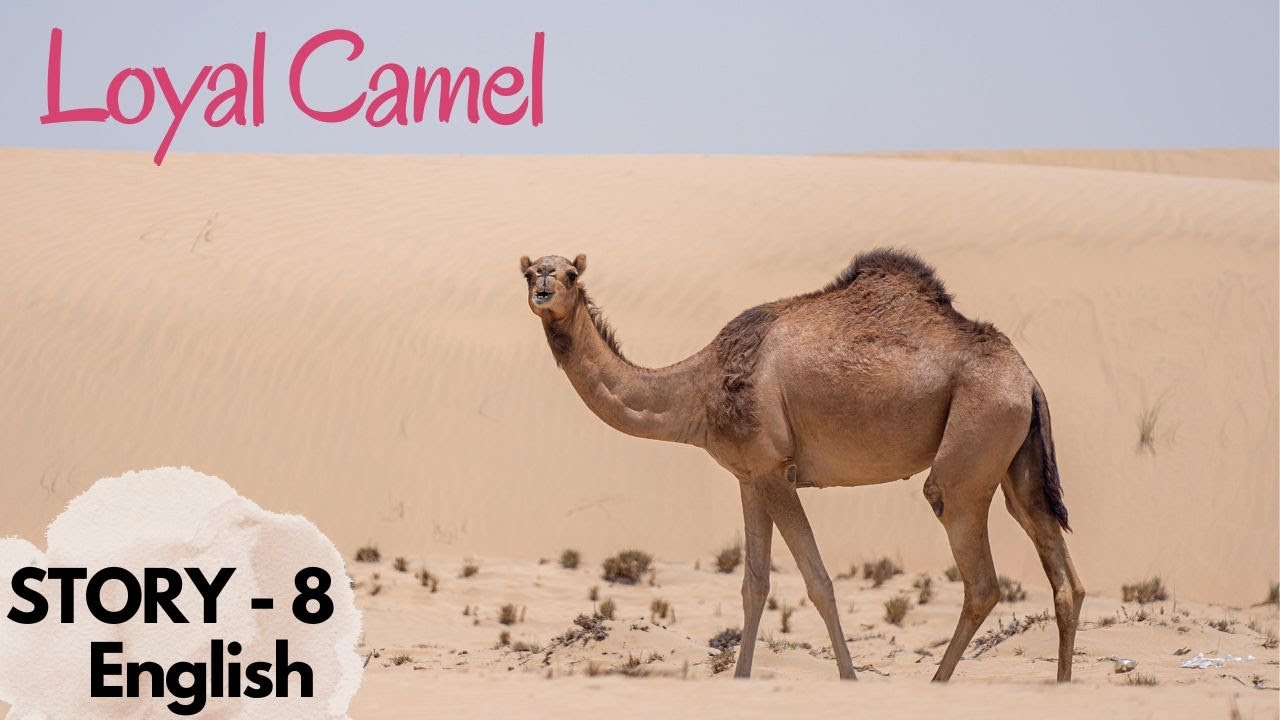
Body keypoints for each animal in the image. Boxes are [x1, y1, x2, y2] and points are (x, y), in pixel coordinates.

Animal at [519, 249, 1085, 682]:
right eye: (530, 272)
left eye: (570, 273)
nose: (544, 282)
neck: (697, 390)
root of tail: (1027, 379)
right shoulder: (748, 477)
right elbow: (754, 586)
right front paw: (742, 679)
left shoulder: (774, 471)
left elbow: (818, 582)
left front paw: (849, 677)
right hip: (1016, 457)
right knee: (1058, 567)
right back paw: (1060, 684)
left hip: (974, 440)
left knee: (978, 573)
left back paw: (938, 683)